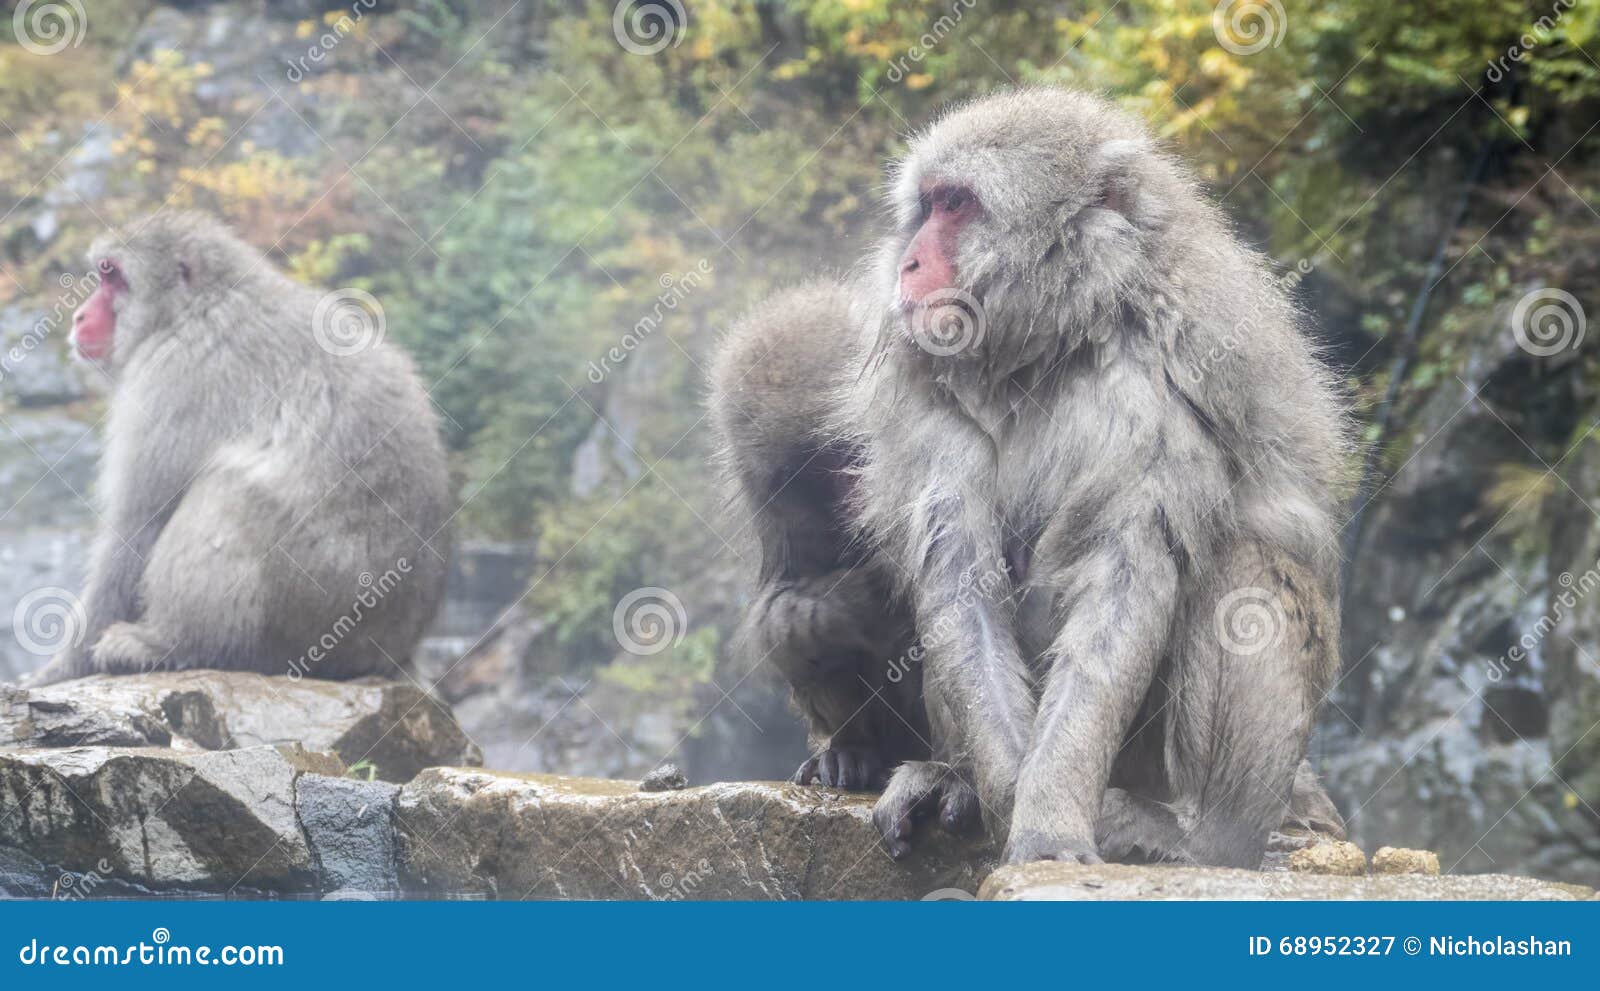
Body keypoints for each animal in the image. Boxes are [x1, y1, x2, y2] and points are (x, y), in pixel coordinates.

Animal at [24, 211, 450, 687]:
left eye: (111, 275)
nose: (79, 316)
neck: (194, 309)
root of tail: (390, 651)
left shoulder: (173, 375)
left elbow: (140, 523)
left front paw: (60, 669)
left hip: (309, 603)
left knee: (229, 491)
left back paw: (172, 643)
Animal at [709, 87, 1348, 869]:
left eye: (958, 204)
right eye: (927, 205)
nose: (910, 262)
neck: (1051, 341)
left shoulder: (1160, 386)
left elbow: (1124, 576)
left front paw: (1048, 819)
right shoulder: (933, 396)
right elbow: (960, 577)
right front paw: (1010, 797)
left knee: (1246, 566)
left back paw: (1200, 836)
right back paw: (945, 774)